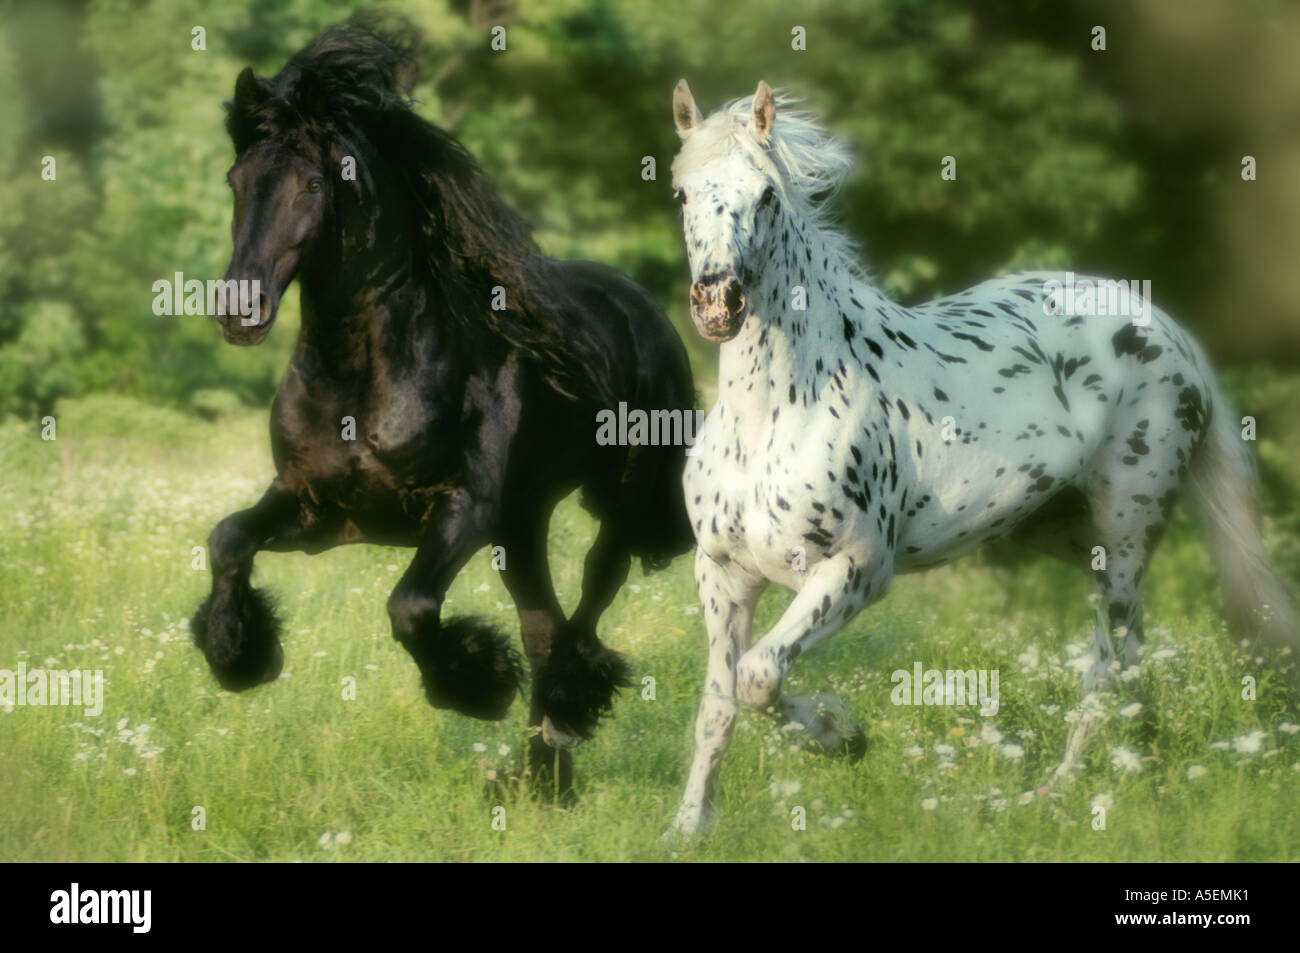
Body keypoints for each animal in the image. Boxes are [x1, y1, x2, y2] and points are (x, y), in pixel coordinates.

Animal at [190, 22, 695, 794]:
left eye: (314, 182)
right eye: (236, 181)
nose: (238, 310)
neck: (364, 378)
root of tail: (639, 302)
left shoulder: (462, 509)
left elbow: (410, 608)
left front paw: (475, 685)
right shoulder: (316, 508)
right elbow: (227, 541)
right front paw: (237, 652)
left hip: (616, 497)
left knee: (591, 592)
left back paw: (566, 713)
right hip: (523, 526)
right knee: (544, 624)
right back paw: (543, 779)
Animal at [665, 79, 1298, 835]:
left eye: (765, 194)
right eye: (680, 192)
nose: (717, 300)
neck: (777, 414)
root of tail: (1165, 328)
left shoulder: (855, 570)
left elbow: (758, 678)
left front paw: (845, 736)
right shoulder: (724, 575)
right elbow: (720, 702)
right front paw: (687, 828)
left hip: (1124, 533)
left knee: (1108, 660)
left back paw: (1069, 792)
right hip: (1063, 533)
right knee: (1131, 654)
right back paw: (1130, 780)